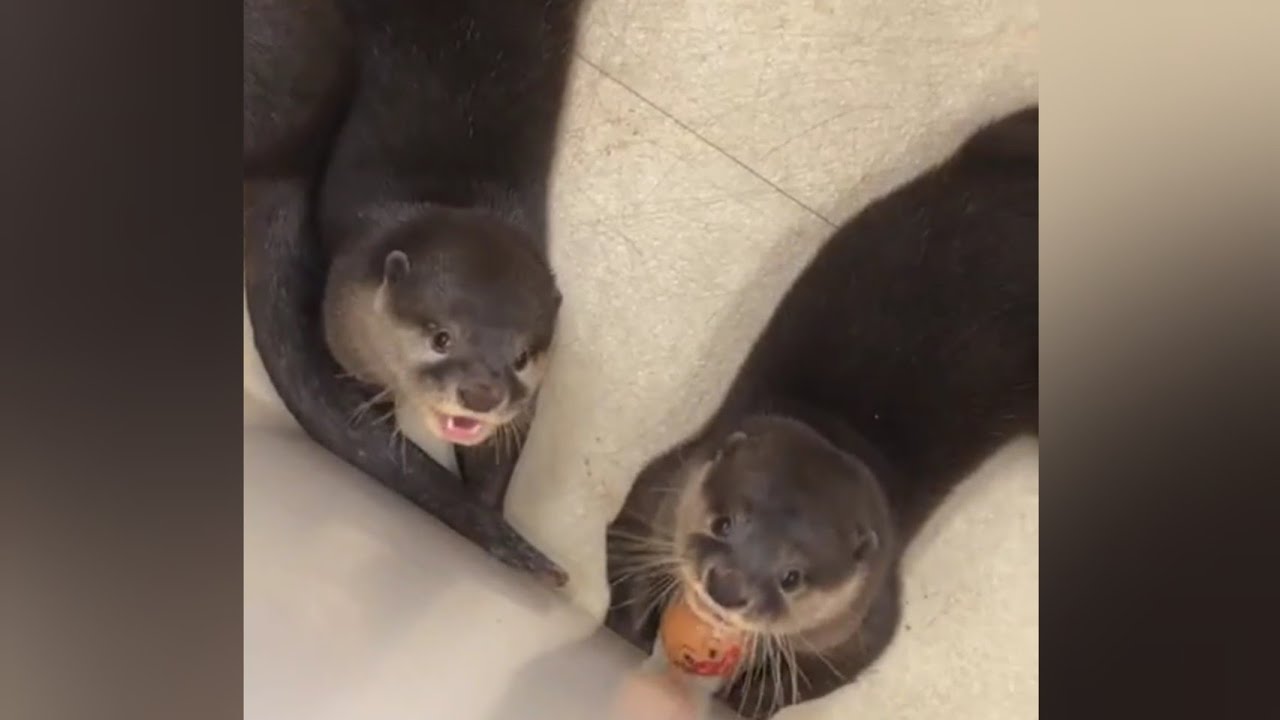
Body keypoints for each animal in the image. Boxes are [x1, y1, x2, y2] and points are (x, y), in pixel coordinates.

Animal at [605, 107, 1039, 717]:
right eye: (723, 522)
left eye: (793, 577)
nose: (729, 587)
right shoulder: (664, 487)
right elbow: (624, 548)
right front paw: (630, 630)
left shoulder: (865, 618)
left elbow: (821, 673)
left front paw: (747, 698)